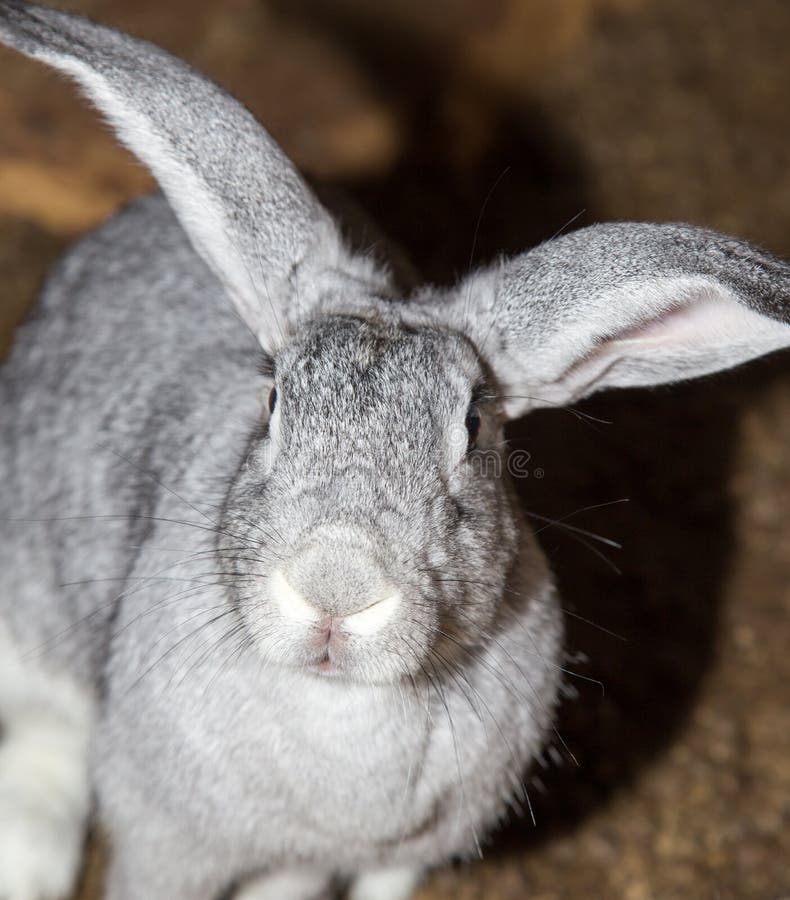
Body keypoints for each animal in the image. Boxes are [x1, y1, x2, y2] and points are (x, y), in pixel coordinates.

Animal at [1, 2, 790, 899]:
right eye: (273, 401)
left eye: (475, 427)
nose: (335, 587)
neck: (341, 701)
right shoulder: (165, 849)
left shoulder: (370, 860)